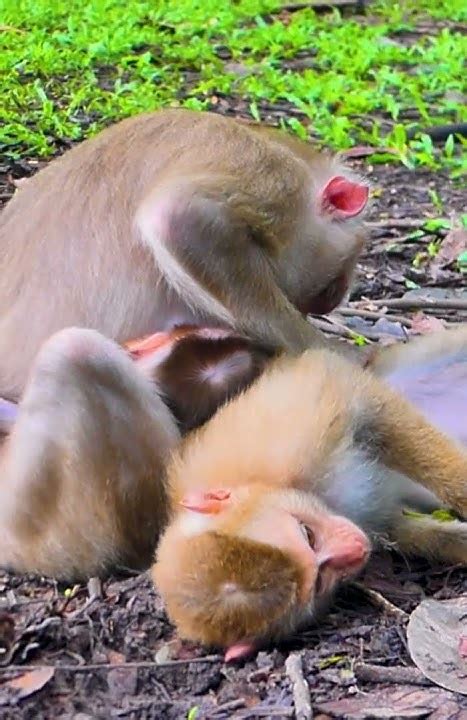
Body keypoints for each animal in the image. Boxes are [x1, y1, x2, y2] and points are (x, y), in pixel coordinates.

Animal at [152, 325, 467, 662]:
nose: (355, 548)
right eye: (319, 581)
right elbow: (402, 527)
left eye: (307, 534)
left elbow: (355, 397)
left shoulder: (287, 445)